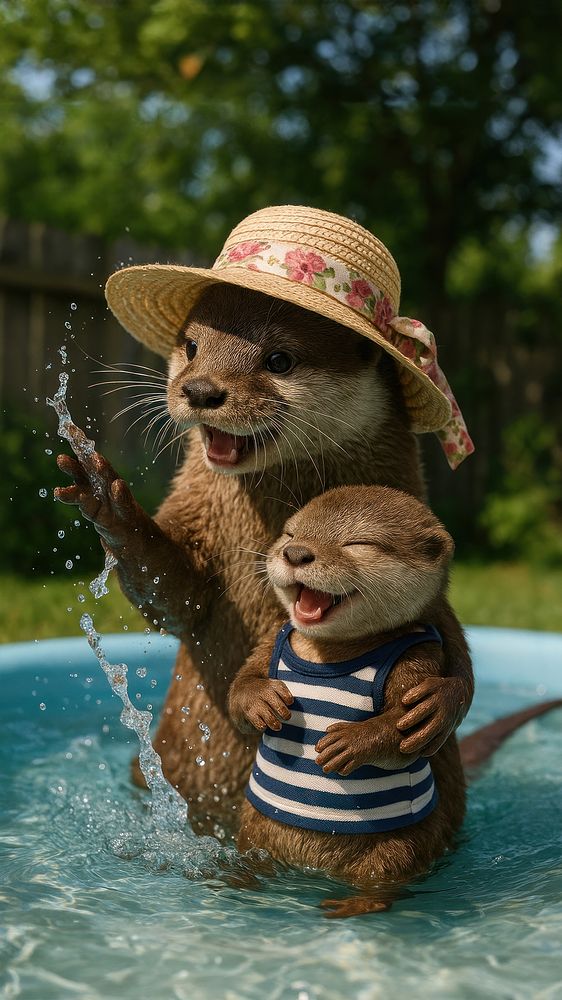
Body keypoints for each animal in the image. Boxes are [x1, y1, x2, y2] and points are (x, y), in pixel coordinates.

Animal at [56, 282, 473, 835]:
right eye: (192, 346)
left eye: (279, 360)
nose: (201, 390)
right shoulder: (197, 526)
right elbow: (171, 600)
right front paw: (110, 505)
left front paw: (440, 703)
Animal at [228, 485, 465, 918]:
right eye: (289, 534)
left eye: (358, 543)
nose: (296, 553)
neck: (329, 657)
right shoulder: (272, 638)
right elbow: (238, 688)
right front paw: (261, 701)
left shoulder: (419, 658)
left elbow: (405, 733)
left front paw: (349, 743)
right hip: (253, 832)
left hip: (401, 846)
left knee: (385, 878)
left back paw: (350, 906)